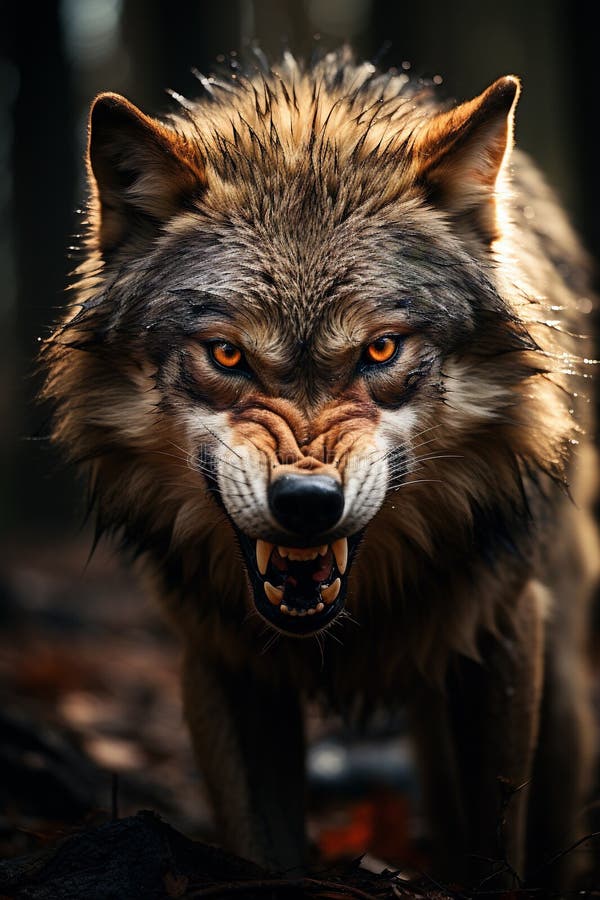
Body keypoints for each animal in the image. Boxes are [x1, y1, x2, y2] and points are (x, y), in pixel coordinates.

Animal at [43, 48, 599, 889]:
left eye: (381, 348)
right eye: (227, 354)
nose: (306, 501)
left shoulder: (502, 636)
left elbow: (499, 847)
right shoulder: (221, 662)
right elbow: (259, 846)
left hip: (556, 675)